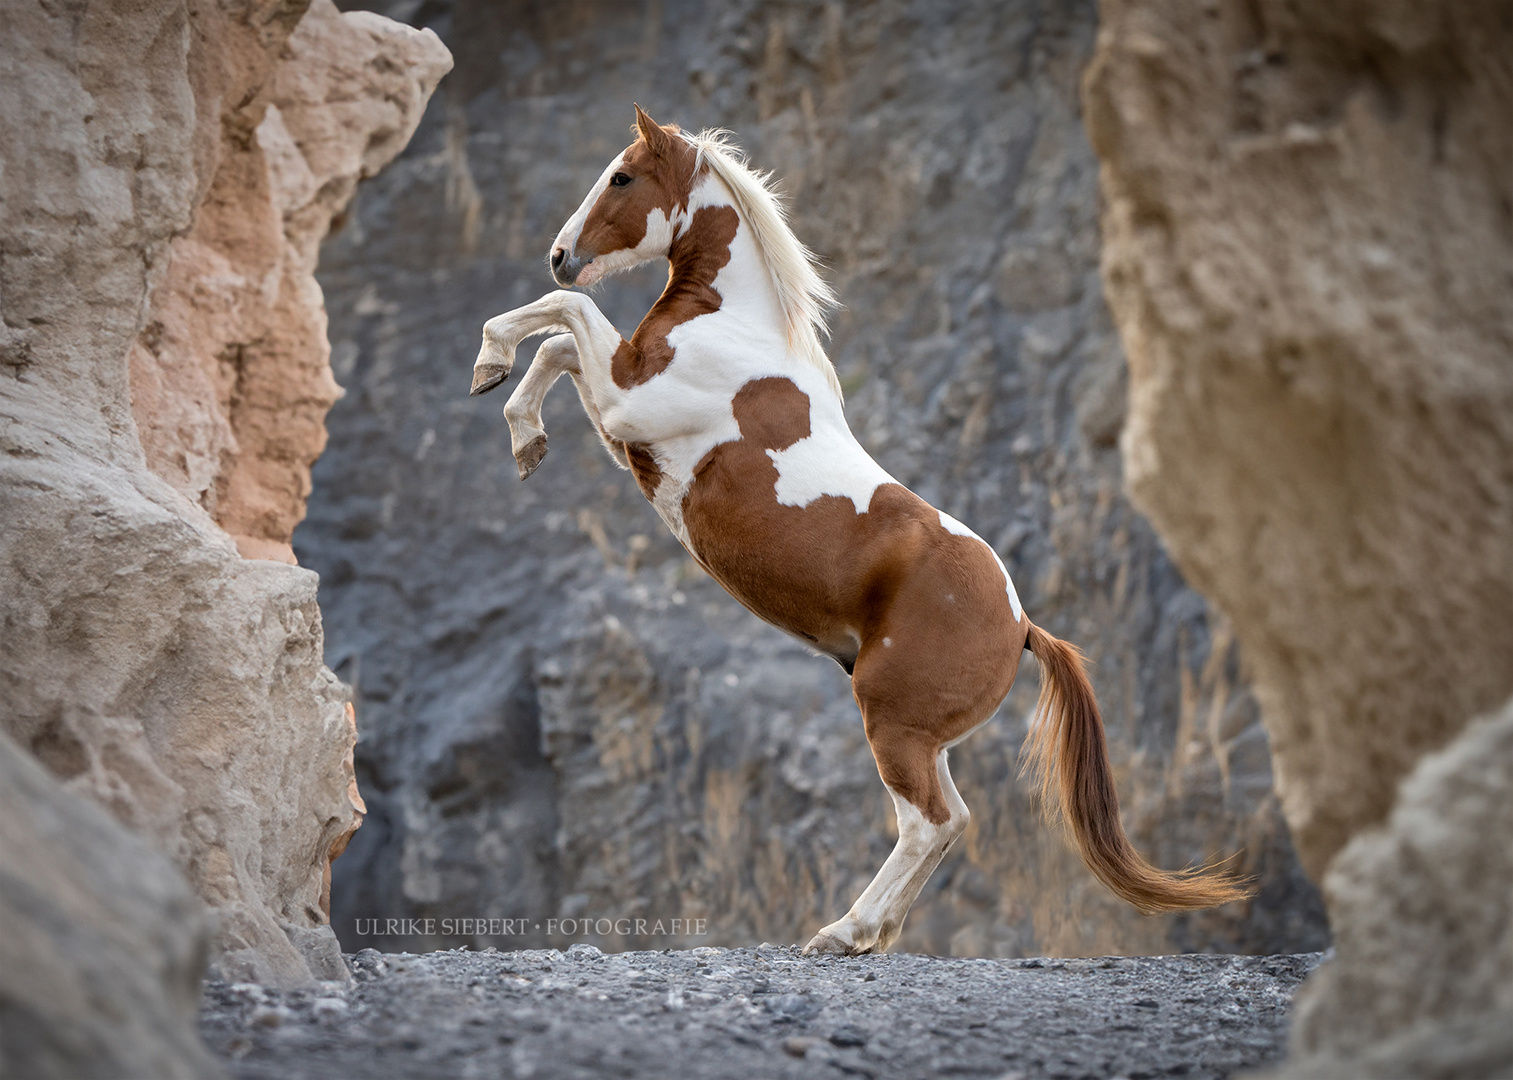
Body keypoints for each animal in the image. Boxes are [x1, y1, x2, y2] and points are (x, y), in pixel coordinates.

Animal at [470, 105, 1251, 955]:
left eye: (621, 176)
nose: (559, 256)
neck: (734, 330)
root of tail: (1022, 626)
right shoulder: (621, 421)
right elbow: (556, 341)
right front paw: (523, 438)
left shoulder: (626, 405)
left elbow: (561, 322)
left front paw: (493, 374)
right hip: (922, 737)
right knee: (949, 823)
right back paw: (876, 933)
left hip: (891, 721)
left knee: (929, 823)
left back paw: (843, 933)